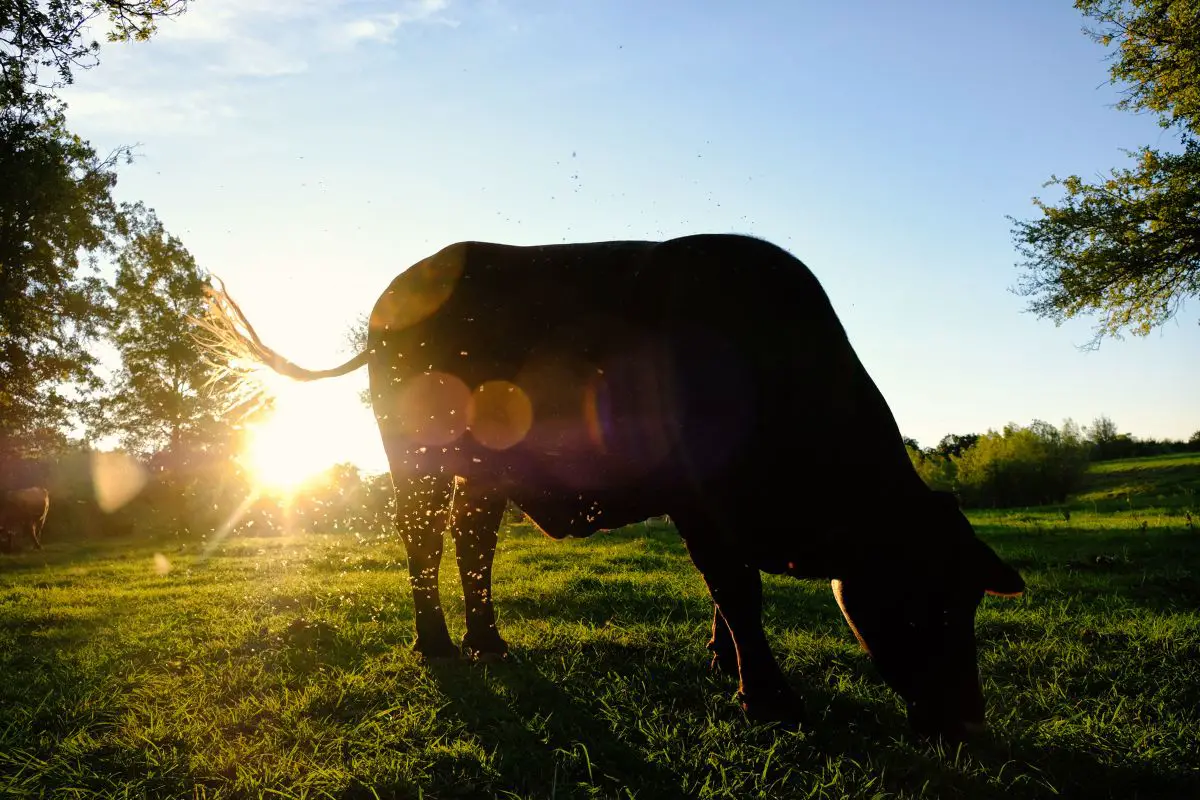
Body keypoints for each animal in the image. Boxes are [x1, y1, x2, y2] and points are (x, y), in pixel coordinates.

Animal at [201, 233, 1024, 740]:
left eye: (969, 599)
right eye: (922, 597)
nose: (970, 724)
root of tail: (387, 305)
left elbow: (728, 591)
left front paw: (723, 664)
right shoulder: (697, 498)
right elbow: (738, 589)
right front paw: (769, 700)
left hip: (483, 470)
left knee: (472, 539)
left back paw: (490, 645)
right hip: (416, 453)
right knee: (424, 538)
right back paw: (437, 647)